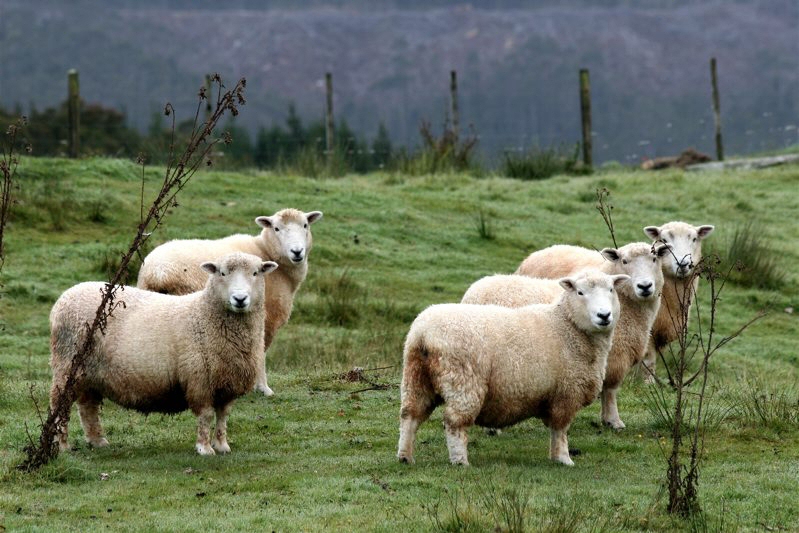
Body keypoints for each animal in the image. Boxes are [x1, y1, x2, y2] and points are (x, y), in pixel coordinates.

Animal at [49, 252, 278, 455]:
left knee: (88, 408)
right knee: (60, 406)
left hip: (91, 374)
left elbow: (223, 417)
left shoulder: (227, 382)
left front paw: (222, 445)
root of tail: (65, 296)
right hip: (67, 365)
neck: (204, 316)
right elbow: (205, 416)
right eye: (222, 273)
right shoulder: (200, 380)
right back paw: (62, 445)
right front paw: (204, 448)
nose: (240, 298)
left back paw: (97, 441)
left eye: (256, 273)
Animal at [137, 208, 323, 396]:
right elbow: (260, 352)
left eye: (305, 225)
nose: (297, 251)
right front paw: (262, 387)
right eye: (276, 228)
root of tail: (159, 273)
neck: (267, 252)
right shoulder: (266, 318)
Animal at [397, 269, 629, 466]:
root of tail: (423, 335)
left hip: (416, 377)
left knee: (410, 415)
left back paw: (405, 456)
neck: (567, 327)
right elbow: (560, 430)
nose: (604, 315)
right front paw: (563, 458)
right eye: (580, 292)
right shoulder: (566, 393)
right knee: (454, 423)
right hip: (463, 382)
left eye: (611, 290)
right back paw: (460, 460)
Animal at [515, 241, 672, 429]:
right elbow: (610, 390)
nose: (645, 286)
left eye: (654, 259)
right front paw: (613, 420)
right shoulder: (614, 357)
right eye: (624, 261)